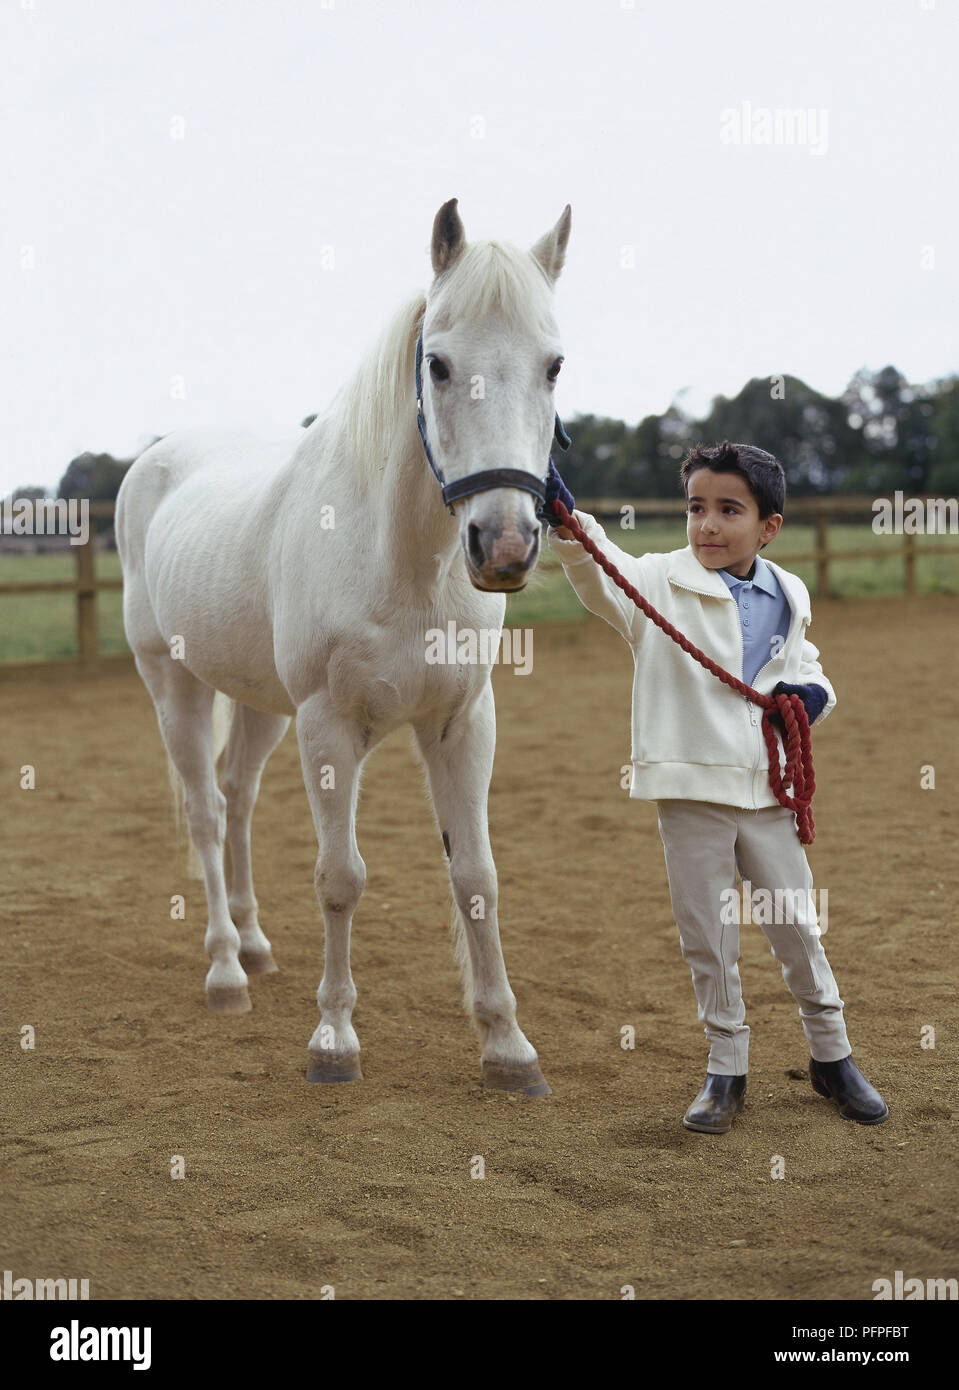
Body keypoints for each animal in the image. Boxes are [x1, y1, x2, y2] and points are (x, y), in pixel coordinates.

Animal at [115, 198, 571, 1097]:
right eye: (436, 364)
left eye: (553, 366)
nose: (503, 545)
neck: (404, 561)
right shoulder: (329, 726)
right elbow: (340, 878)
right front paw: (333, 1039)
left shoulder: (461, 724)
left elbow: (476, 878)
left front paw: (507, 1046)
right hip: (173, 684)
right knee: (205, 809)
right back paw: (224, 968)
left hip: (261, 703)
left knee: (238, 796)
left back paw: (254, 945)